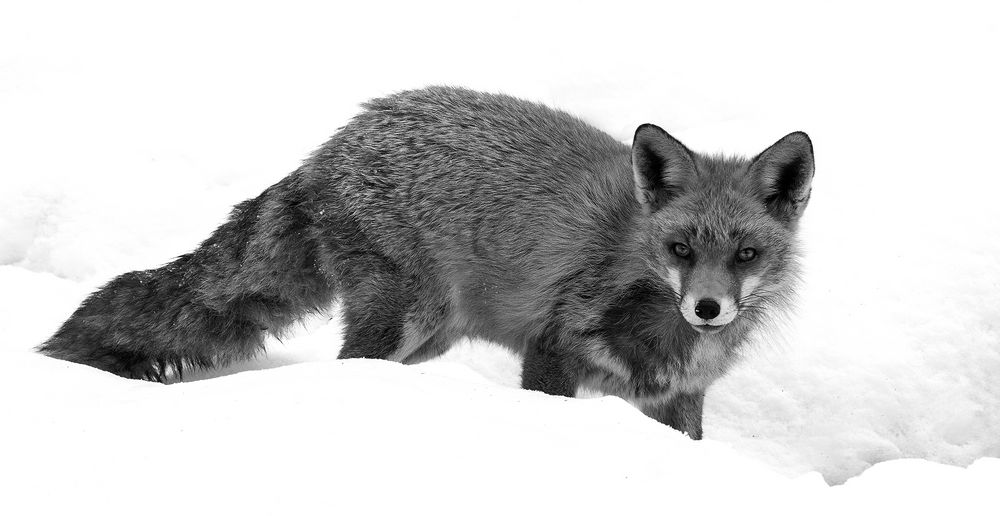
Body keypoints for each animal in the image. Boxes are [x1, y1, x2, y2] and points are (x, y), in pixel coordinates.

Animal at [38, 86, 814, 439]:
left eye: (746, 254)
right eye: (680, 249)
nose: (708, 308)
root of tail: (335, 142)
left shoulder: (677, 401)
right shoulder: (551, 350)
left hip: (431, 336)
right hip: (406, 317)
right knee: (350, 368)